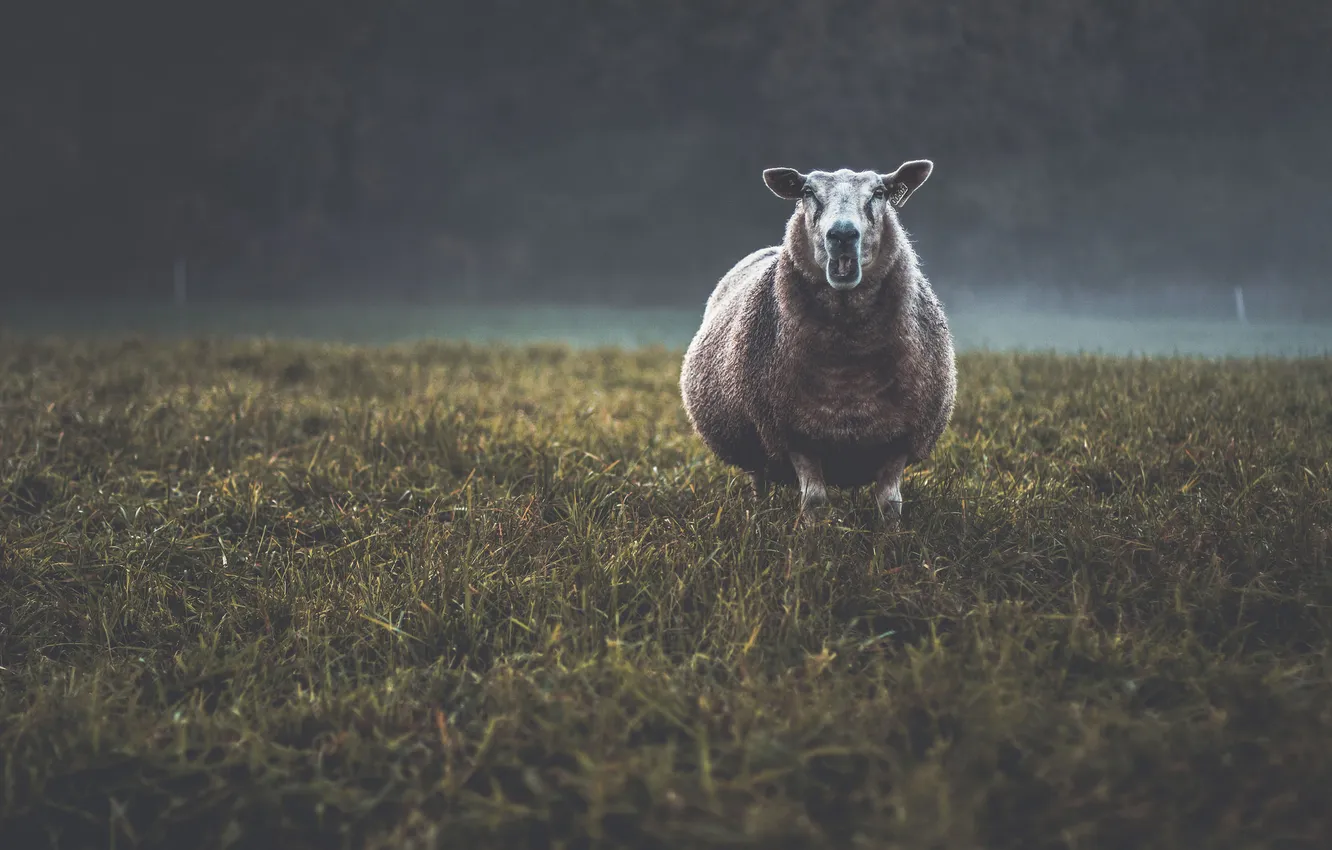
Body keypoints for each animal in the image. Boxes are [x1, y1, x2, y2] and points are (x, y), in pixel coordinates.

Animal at [679, 161, 957, 522]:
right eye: (807, 192)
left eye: (879, 193)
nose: (842, 235)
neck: (848, 367)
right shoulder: (795, 435)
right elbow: (814, 500)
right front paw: (813, 536)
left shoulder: (901, 438)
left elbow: (890, 504)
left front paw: (891, 535)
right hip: (758, 442)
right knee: (759, 479)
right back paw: (759, 512)